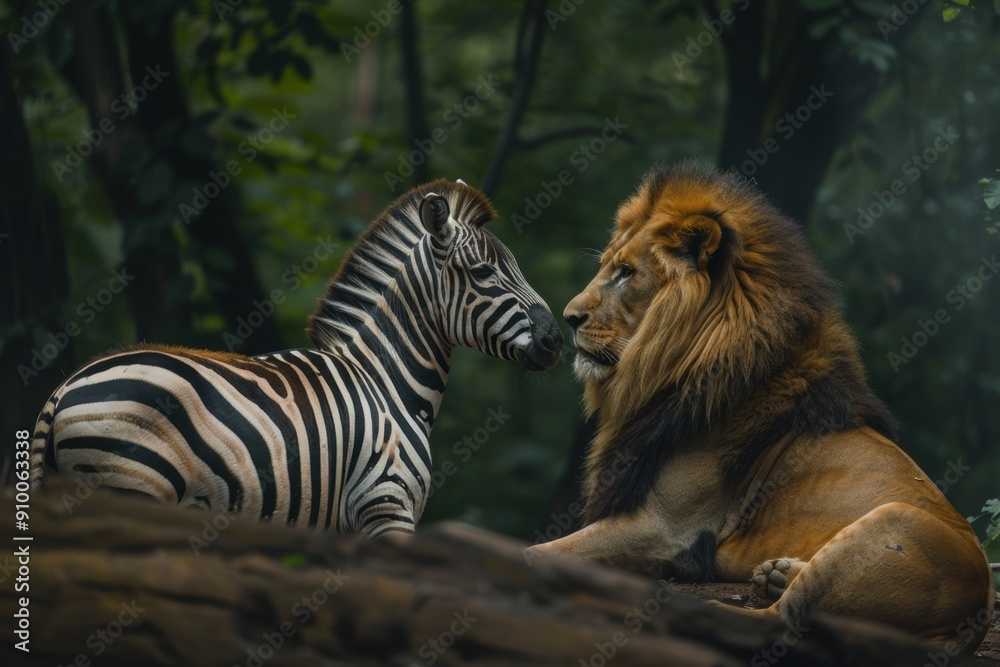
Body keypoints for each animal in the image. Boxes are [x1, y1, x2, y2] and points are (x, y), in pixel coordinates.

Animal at [28, 179, 563, 537]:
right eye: (484, 273)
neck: (387, 381)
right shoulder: (385, 502)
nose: (556, 339)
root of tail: (61, 390)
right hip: (133, 487)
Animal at [528, 163, 995, 649]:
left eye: (626, 273)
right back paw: (778, 573)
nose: (568, 318)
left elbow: (541, 551)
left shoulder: (662, 528)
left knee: (780, 622)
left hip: (895, 519)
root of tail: (976, 615)